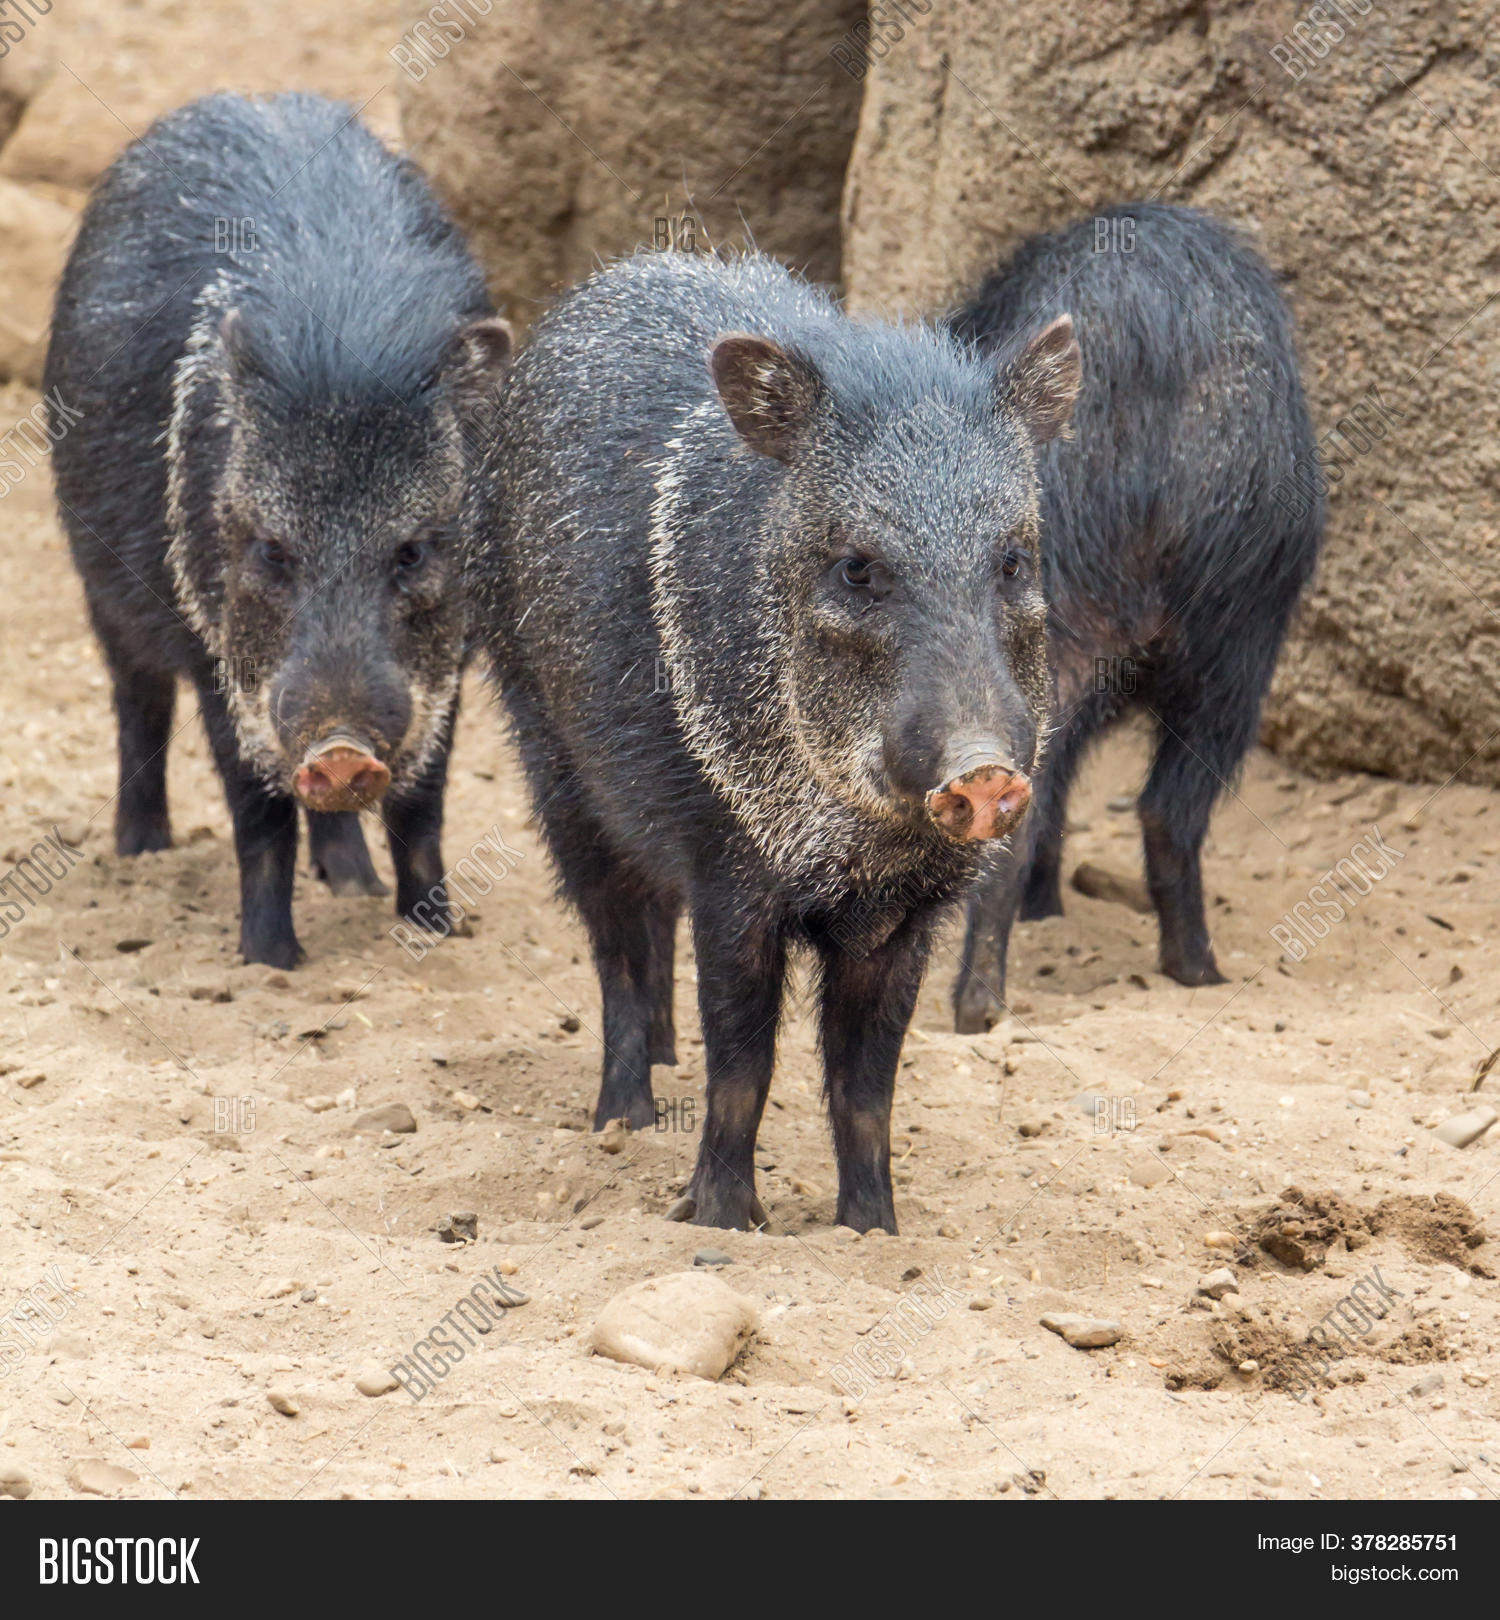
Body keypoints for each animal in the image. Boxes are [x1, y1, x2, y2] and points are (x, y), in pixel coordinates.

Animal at [45, 92, 511, 967]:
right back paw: (141, 853)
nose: (342, 752)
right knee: (136, 705)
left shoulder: (451, 660)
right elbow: (256, 816)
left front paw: (432, 931)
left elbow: (423, 806)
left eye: (412, 550)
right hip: (100, 587)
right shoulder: (213, 646)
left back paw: (352, 883)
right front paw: (270, 962)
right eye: (271, 550)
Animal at [478, 250, 1079, 1232]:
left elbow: (867, 1087)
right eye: (858, 569)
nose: (985, 771)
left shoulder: (905, 918)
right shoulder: (730, 874)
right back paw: (623, 1117)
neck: (864, 840)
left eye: (1013, 561)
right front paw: (720, 1218)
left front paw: (872, 1229)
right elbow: (741, 1068)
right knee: (617, 943)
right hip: (551, 756)